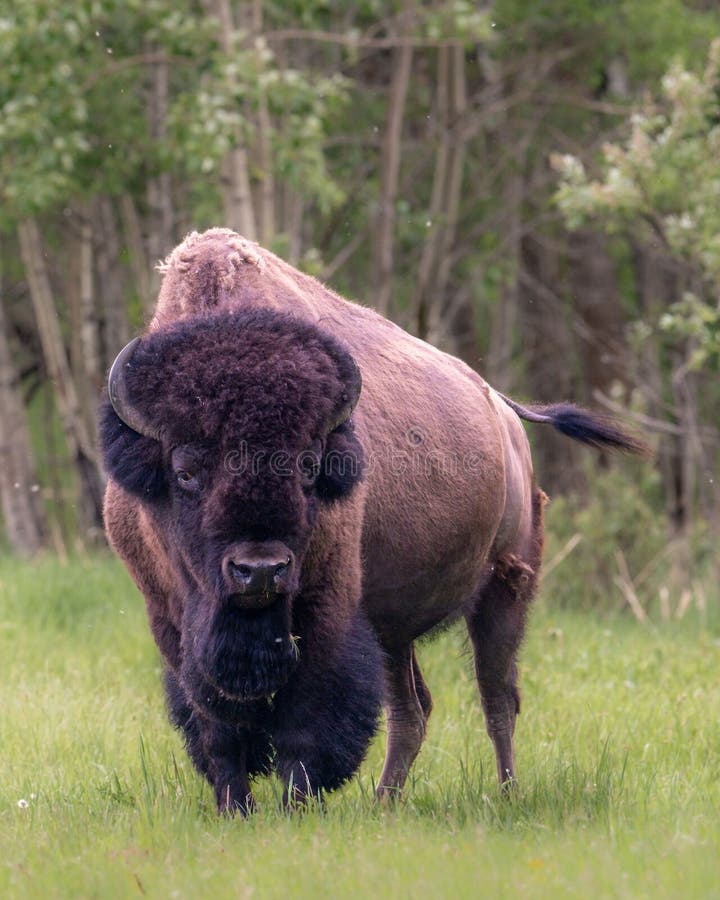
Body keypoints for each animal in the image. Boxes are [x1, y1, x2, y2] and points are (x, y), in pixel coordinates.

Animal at [100, 228, 645, 813]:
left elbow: (309, 719)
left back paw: (504, 794)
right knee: (415, 709)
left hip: (506, 586)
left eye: (309, 464)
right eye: (185, 471)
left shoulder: (327, 608)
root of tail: (502, 408)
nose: (260, 570)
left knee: (496, 697)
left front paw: (296, 807)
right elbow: (215, 726)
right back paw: (386, 801)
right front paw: (236, 808)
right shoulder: (172, 619)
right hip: (393, 624)